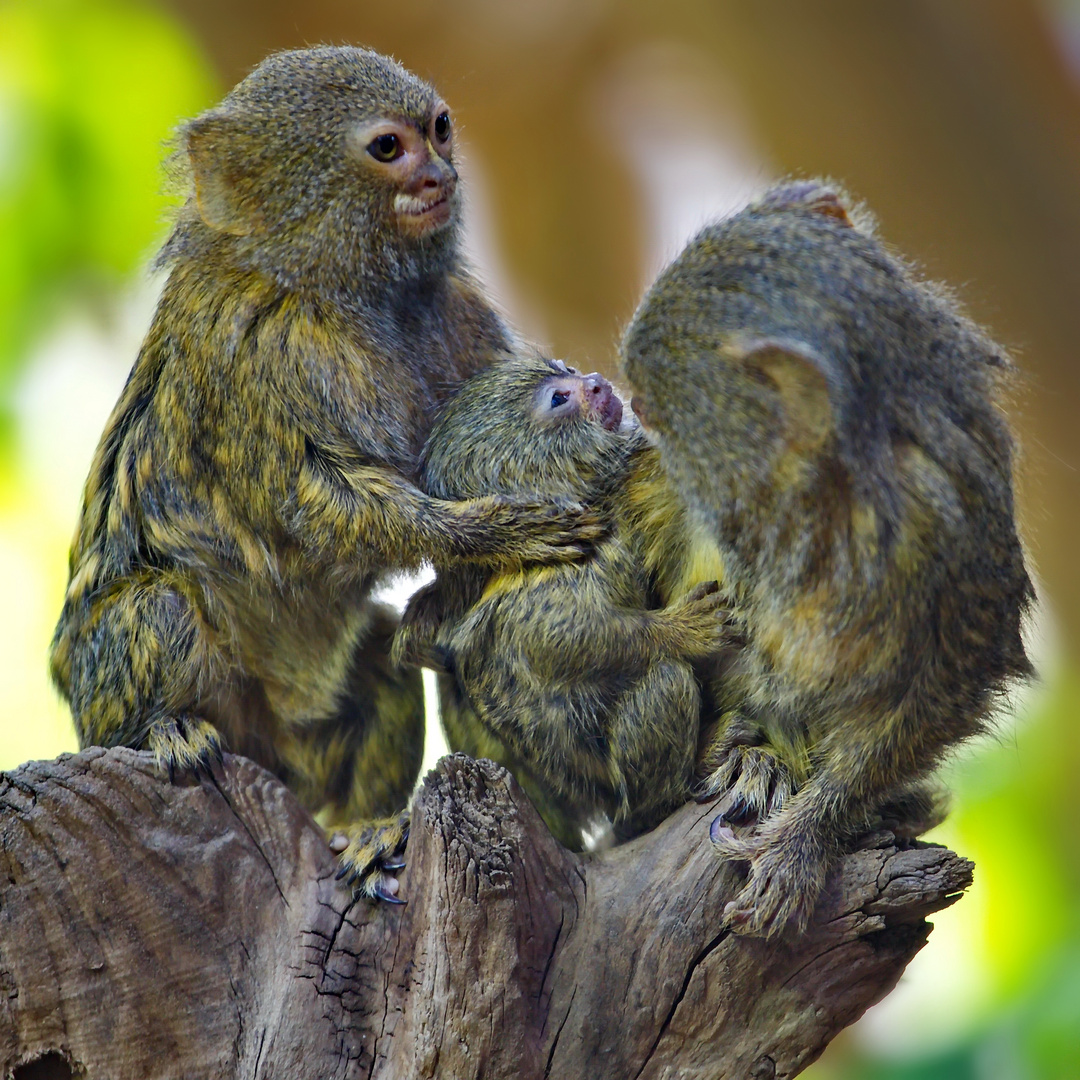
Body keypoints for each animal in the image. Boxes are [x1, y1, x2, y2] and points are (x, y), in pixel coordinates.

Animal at [47, 46, 598, 901]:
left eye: (440, 129)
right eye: (388, 147)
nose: (439, 172)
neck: (332, 291)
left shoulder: (459, 315)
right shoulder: (253, 353)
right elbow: (313, 505)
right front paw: (496, 531)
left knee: (374, 650)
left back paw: (370, 824)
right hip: (106, 699)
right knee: (157, 607)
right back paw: (164, 727)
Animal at [391, 353, 735, 849]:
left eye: (567, 371)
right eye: (559, 399)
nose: (595, 383)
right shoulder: (576, 563)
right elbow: (555, 643)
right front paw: (684, 630)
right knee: (665, 680)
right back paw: (672, 791)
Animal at [621, 179, 1035, 937]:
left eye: (654, 406)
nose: (635, 414)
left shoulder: (957, 526)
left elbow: (934, 693)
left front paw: (807, 838)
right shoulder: (659, 488)